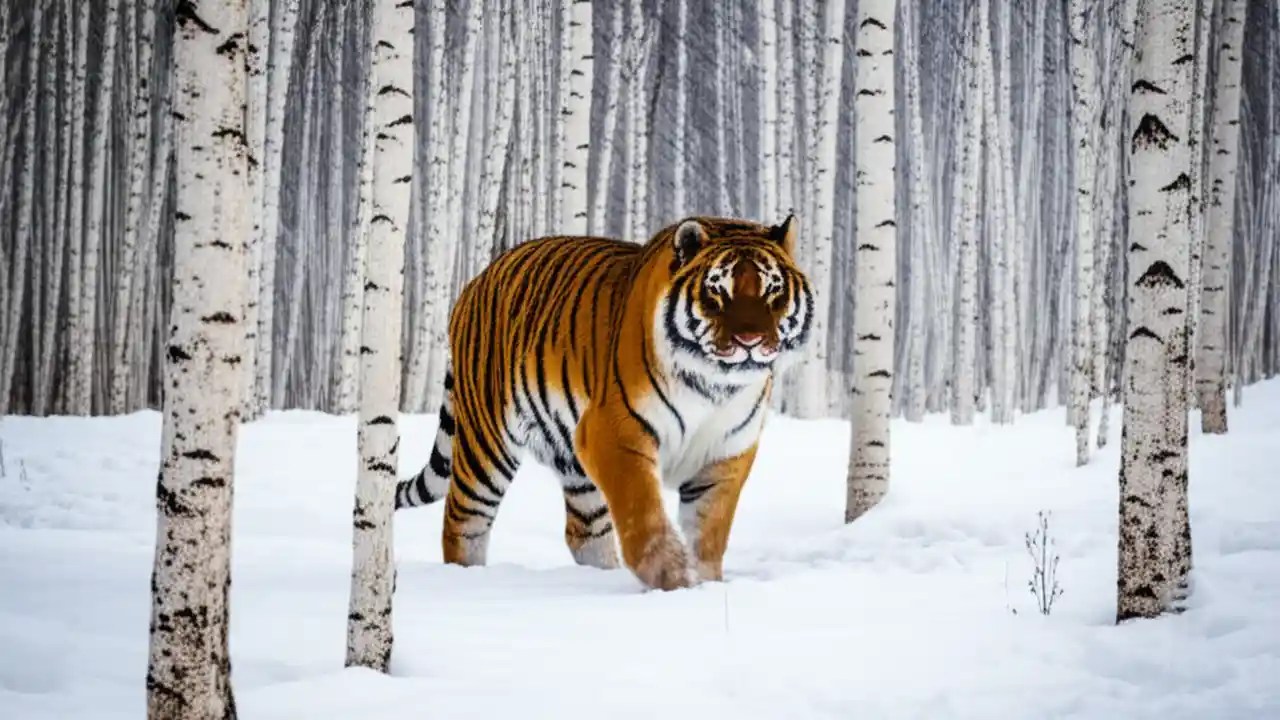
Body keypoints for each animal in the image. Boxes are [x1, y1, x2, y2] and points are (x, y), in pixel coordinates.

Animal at [394, 214, 814, 591]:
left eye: (773, 291)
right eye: (717, 292)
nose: (750, 340)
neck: (716, 385)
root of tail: (477, 279)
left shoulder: (727, 453)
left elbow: (709, 534)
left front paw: (703, 585)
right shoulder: (616, 432)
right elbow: (643, 518)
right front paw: (673, 581)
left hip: (574, 466)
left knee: (584, 532)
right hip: (486, 443)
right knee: (462, 520)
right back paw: (465, 579)